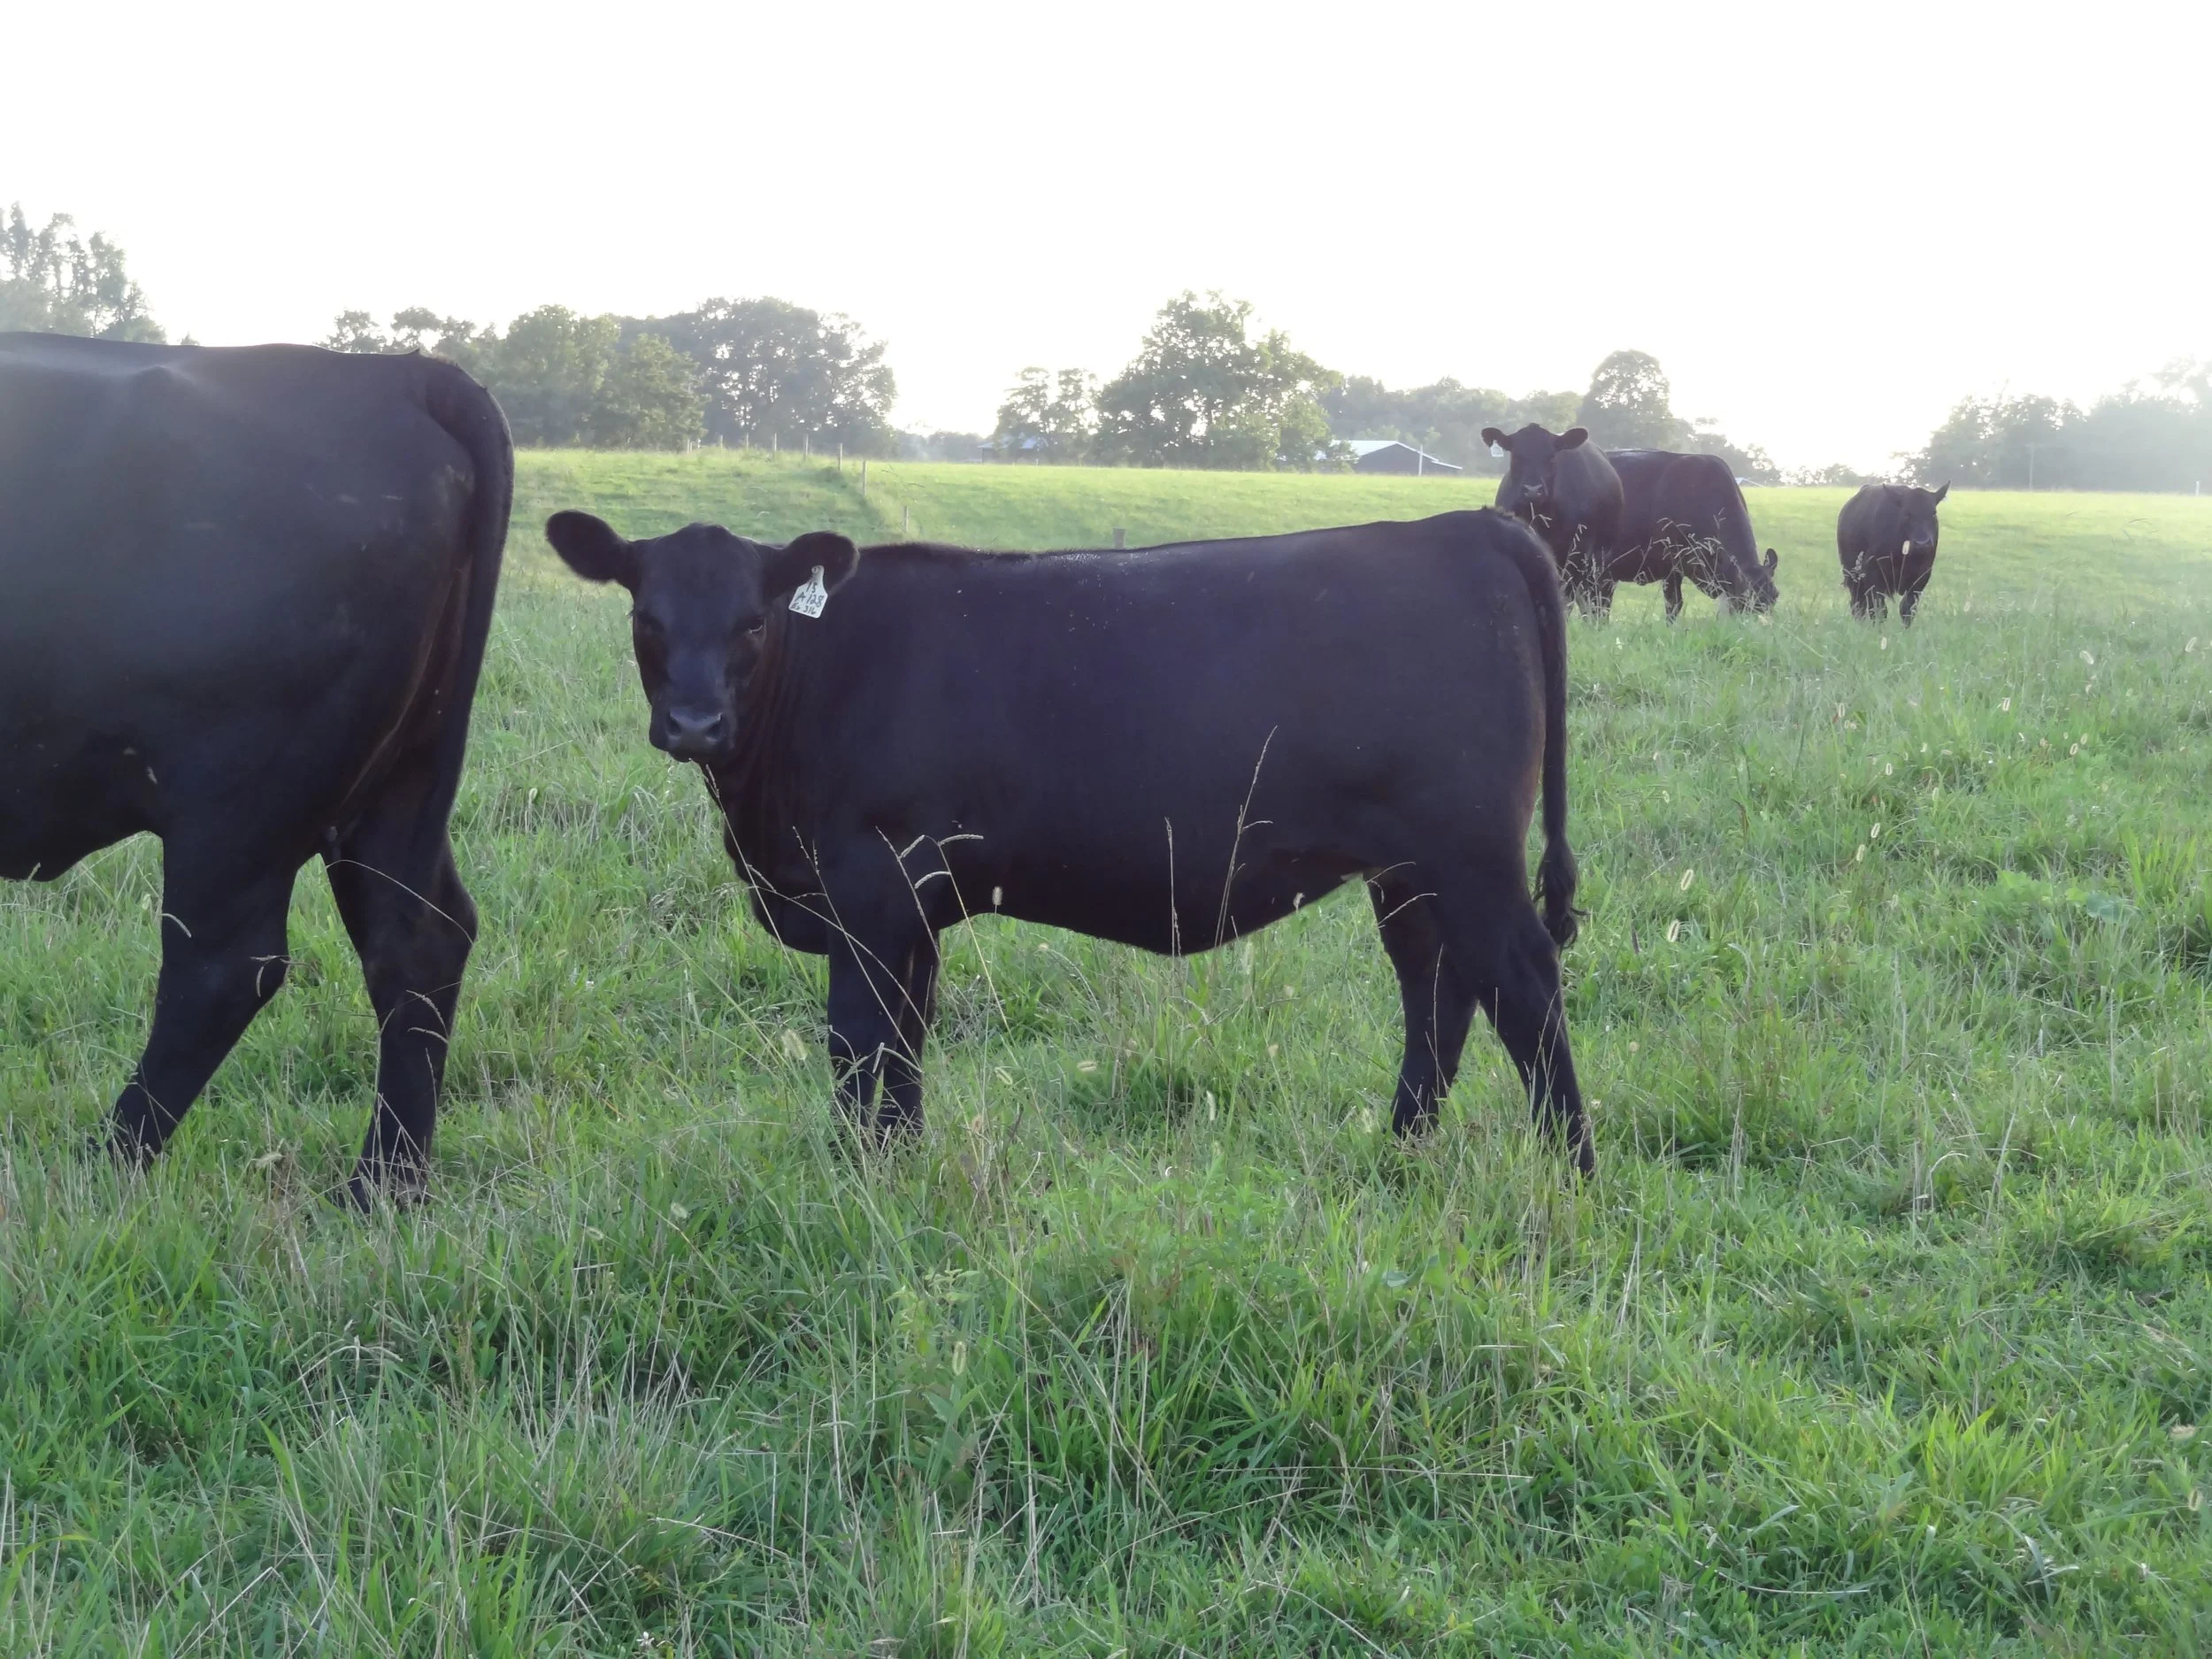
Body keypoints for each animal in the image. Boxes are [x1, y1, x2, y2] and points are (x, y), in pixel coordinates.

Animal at [0, 334, 511, 1203]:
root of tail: (396, 372)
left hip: (240, 807)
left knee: (220, 970)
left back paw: (98, 1169)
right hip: (396, 782)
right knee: (419, 939)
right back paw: (381, 1186)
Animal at [547, 508, 1594, 1173]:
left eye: (752, 621)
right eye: (646, 616)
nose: (694, 723)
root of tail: (1464, 526)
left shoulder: (873, 891)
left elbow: (859, 1044)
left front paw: (854, 1174)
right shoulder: (914, 912)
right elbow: (906, 1043)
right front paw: (897, 1160)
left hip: (1469, 858)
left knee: (1522, 987)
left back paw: (1571, 1171)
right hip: (1407, 873)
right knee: (1437, 993)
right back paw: (1401, 1150)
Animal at [1481, 423, 1623, 617]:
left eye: (1551, 457)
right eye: (1517, 456)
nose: (1533, 490)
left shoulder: (1576, 553)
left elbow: (1565, 598)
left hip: (1601, 562)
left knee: (1596, 600)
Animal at [1837, 482, 1947, 623]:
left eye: (1933, 513)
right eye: (1906, 514)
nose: (1922, 543)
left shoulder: (1922, 576)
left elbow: (1907, 609)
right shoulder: (1873, 573)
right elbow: (1879, 610)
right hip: (1852, 575)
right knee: (1858, 605)